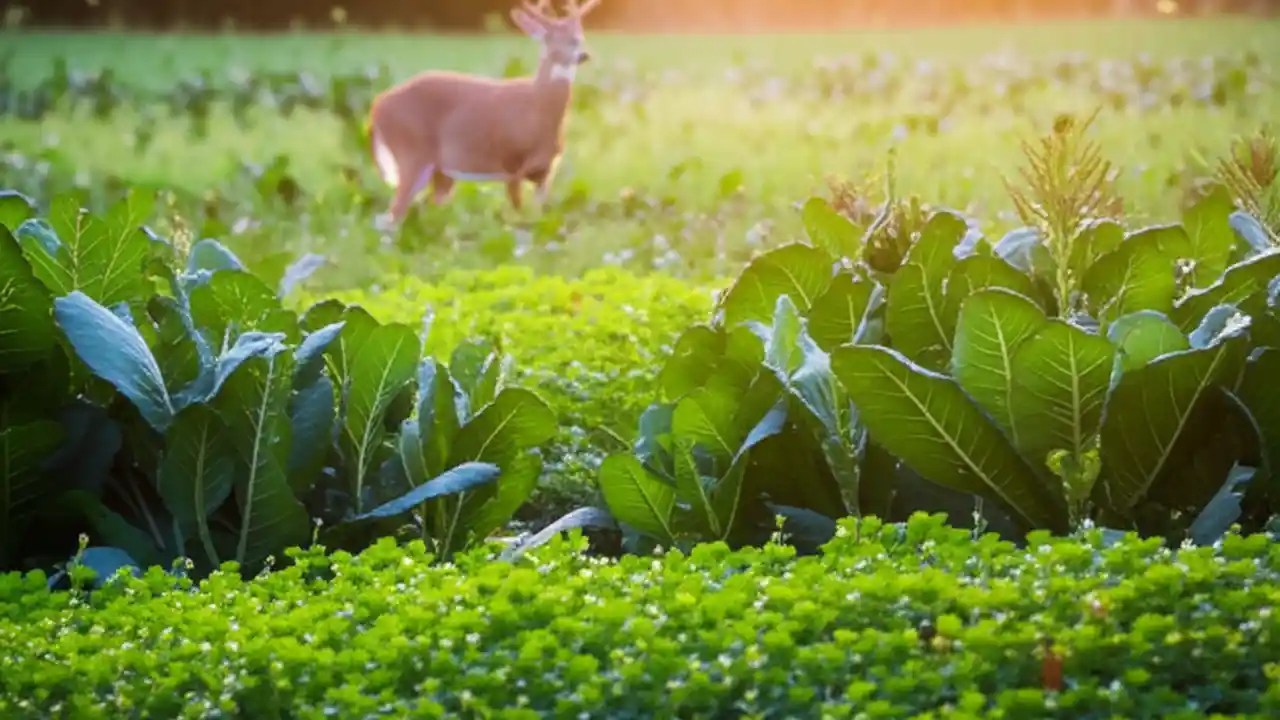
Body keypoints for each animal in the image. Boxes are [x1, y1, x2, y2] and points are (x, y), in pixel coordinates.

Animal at [367, 0, 602, 227]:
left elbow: (539, 218)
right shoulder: (512, 166)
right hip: (411, 152)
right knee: (388, 218)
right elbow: (517, 220)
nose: (582, 55)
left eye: (578, 37)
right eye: (550, 37)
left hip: (440, 173)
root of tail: (378, 105)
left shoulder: (545, 173)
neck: (538, 111)